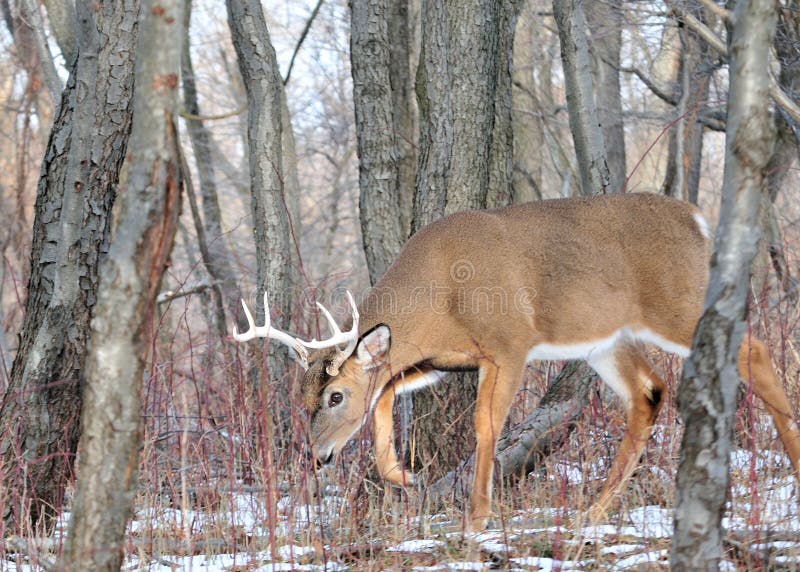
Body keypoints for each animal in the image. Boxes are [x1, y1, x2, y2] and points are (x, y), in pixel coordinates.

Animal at [233, 192, 800, 532]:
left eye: (335, 395)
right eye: (302, 398)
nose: (316, 455)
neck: (441, 292)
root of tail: (697, 219)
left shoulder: (508, 342)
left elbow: (486, 425)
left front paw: (476, 517)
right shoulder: (442, 358)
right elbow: (387, 391)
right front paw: (401, 474)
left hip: (678, 304)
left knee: (753, 350)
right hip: (605, 341)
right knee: (650, 392)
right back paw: (594, 509)